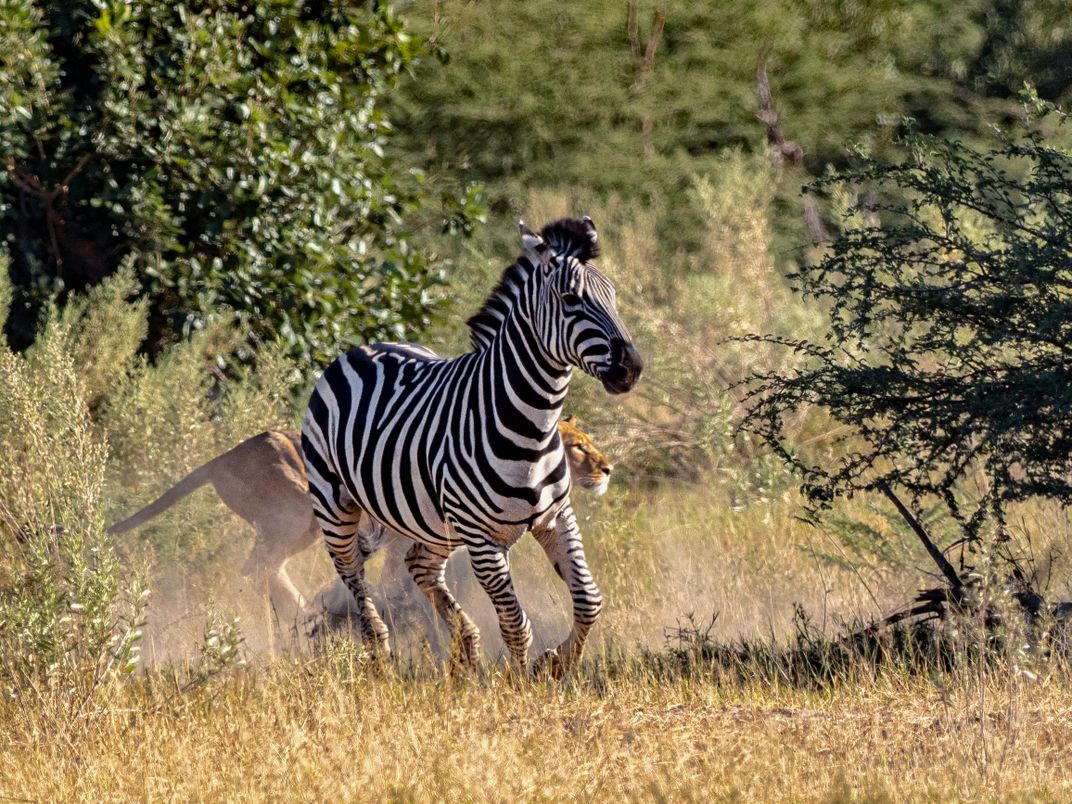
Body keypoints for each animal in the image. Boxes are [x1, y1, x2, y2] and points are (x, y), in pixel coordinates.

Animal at [301, 217, 642, 677]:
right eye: (570, 298)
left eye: (614, 296)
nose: (632, 368)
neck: (532, 427)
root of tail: (364, 347)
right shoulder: (482, 539)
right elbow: (516, 623)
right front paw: (519, 682)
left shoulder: (557, 517)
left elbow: (590, 601)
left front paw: (556, 662)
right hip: (335, 504)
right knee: (352, 572)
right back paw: (382, 655)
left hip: (435, 523)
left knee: (420, 566)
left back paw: (466, 653)